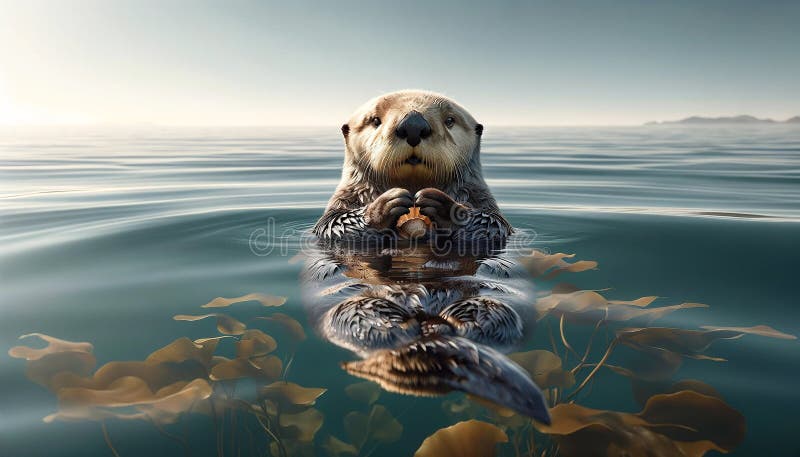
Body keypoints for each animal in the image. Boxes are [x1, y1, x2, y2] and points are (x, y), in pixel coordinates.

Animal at [304, 91, 550, 424]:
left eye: (450, 119)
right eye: (375, 119)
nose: (413, 125)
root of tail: (427, 327)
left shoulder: (490, 211)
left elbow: (489, 226)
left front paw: (445, 206)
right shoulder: (336, 209)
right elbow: (337, 227)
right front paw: (384, 206)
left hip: (495, 309)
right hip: (351, 311)